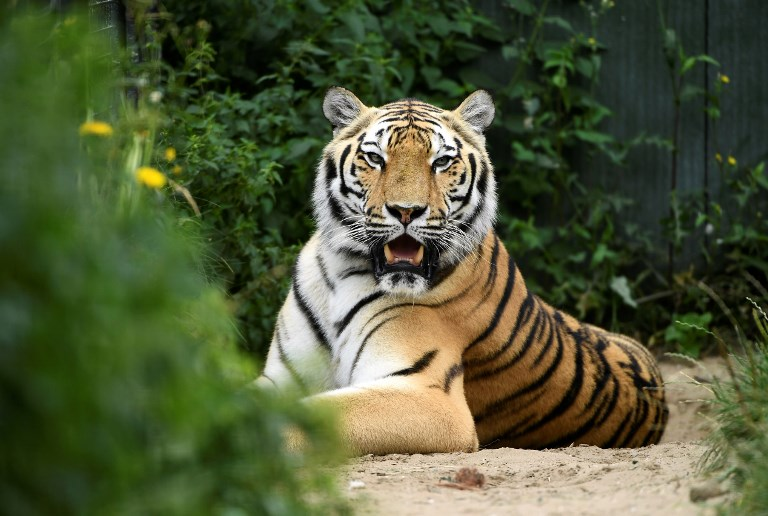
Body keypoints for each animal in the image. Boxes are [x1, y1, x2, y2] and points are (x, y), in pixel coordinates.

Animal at [257, 87, 668, 455]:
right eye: (374, 158)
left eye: (441, 162)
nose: (406, 211)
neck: (343, 270)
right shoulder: (281, 376)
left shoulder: (429, 395)